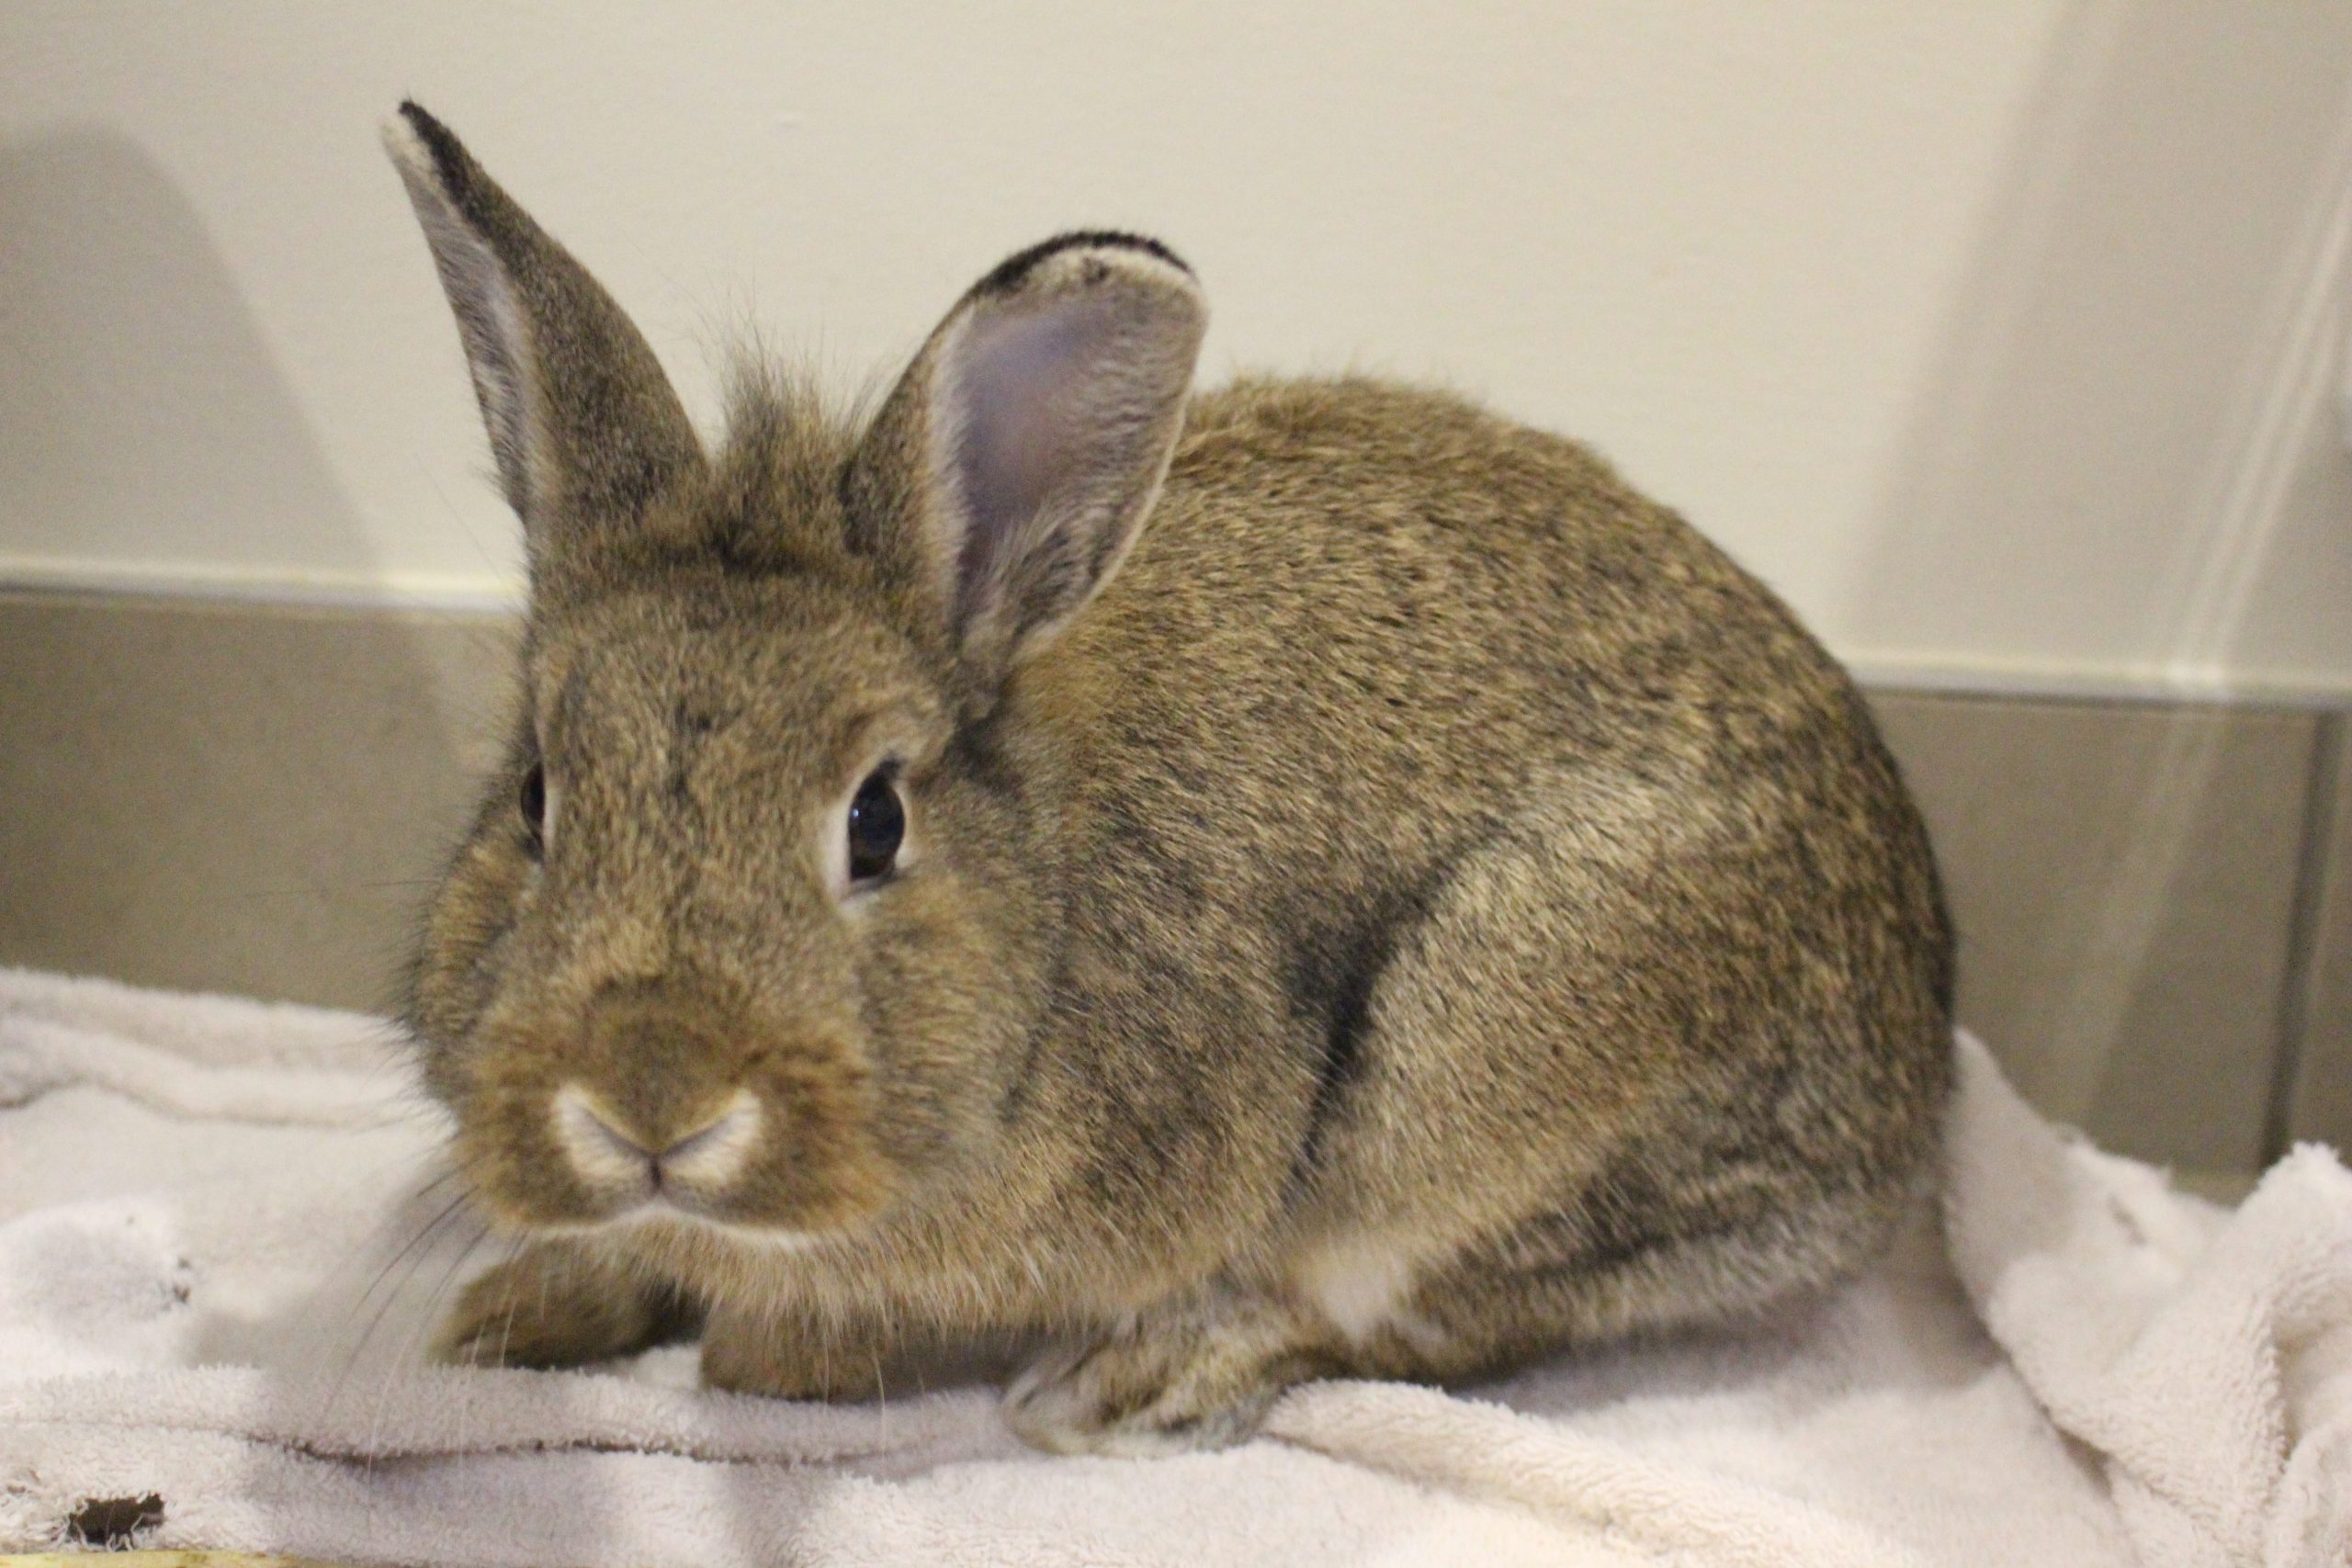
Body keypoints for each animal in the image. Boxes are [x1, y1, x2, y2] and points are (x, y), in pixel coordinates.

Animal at [385, 99, 1954, 1456]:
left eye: (875, 820)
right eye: (535, 796)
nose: (649, 1096)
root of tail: (1912, 1086)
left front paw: (760, 1356)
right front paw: (504, 1316)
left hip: (1490, 1076)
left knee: (1411, 1317)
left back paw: (1131, 1381)